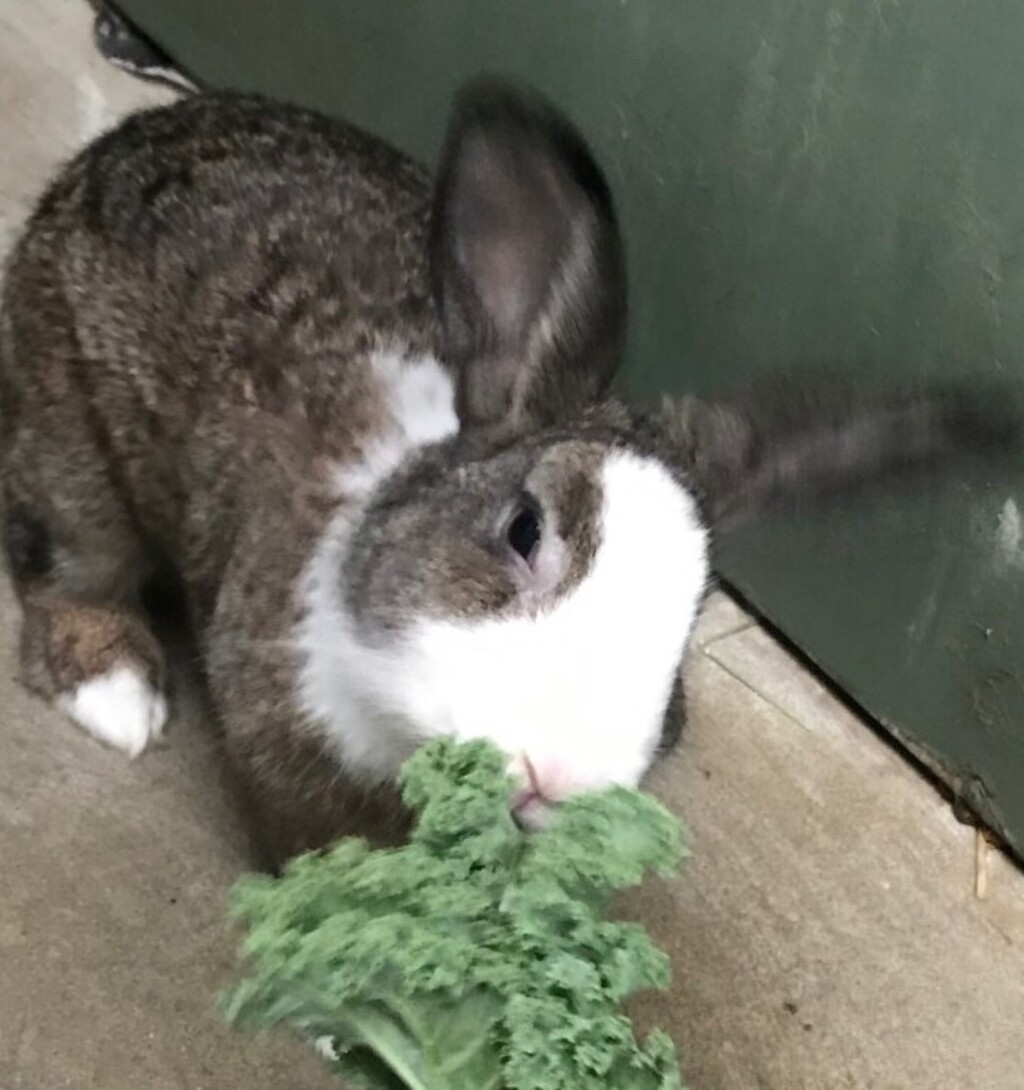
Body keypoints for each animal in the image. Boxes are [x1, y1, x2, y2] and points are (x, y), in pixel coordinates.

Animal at [0, 78, 1017, 866]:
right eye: (524, 530)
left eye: (693, 620)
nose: (553, 776)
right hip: (73, 457)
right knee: (70, 568)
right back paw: (119, 699)